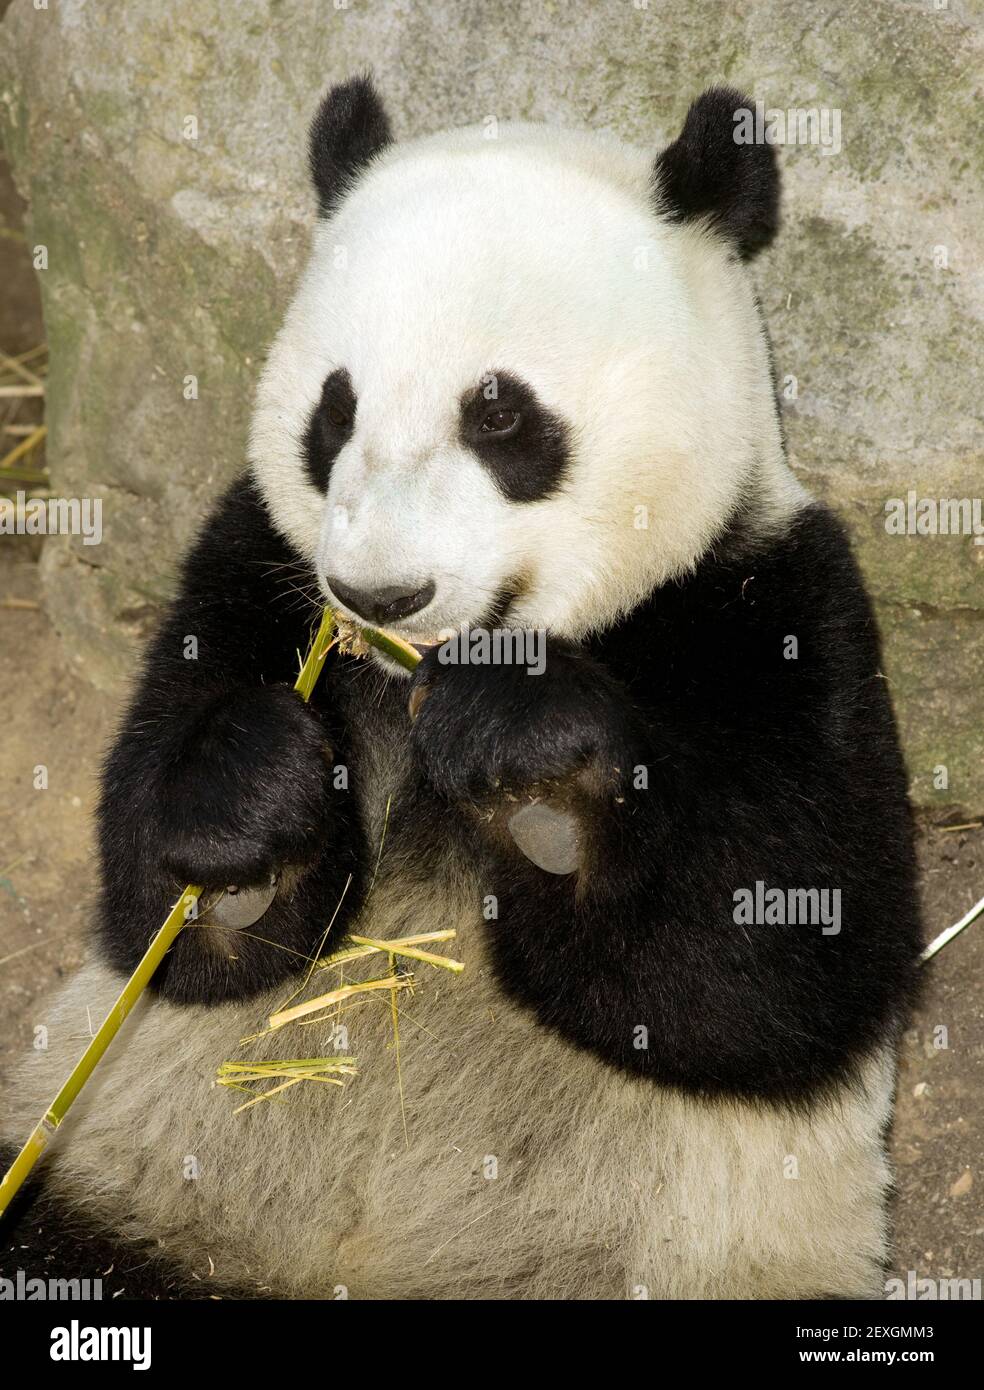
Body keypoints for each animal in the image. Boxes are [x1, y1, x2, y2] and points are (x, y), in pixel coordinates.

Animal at [0, 77, 921, 1301]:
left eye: (501, 414)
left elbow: (771, 969)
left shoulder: (772, 597)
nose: (380, 592)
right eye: (333, 412)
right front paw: (249, 804)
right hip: (120, 1185)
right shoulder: (253, 563)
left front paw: (539, 778)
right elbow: (161, 909)